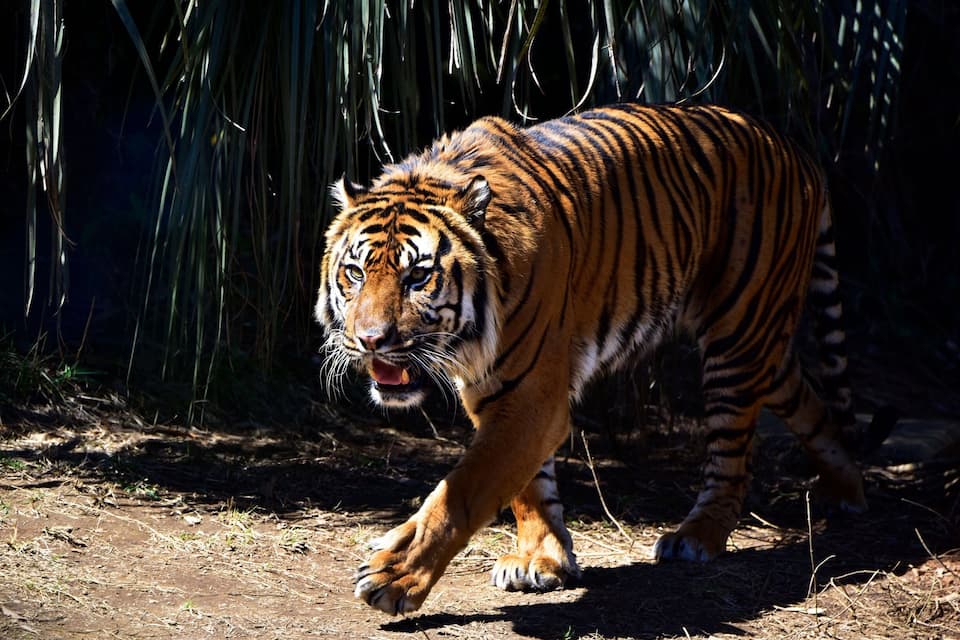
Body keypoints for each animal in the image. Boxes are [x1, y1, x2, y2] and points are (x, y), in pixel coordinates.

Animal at [315, 103, 869, 615]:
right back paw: (847, 489)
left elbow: (463, 492)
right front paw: (542, 559)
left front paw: (396, 575)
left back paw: (697, 536)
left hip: (737, 334)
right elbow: (528, 486)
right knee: (810, 404)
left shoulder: (530, 394)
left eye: (417, 277)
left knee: (731, 458)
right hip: (762, 338)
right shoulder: (505, 394)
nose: (370, 340)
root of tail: (795, 147)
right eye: (355, 273)